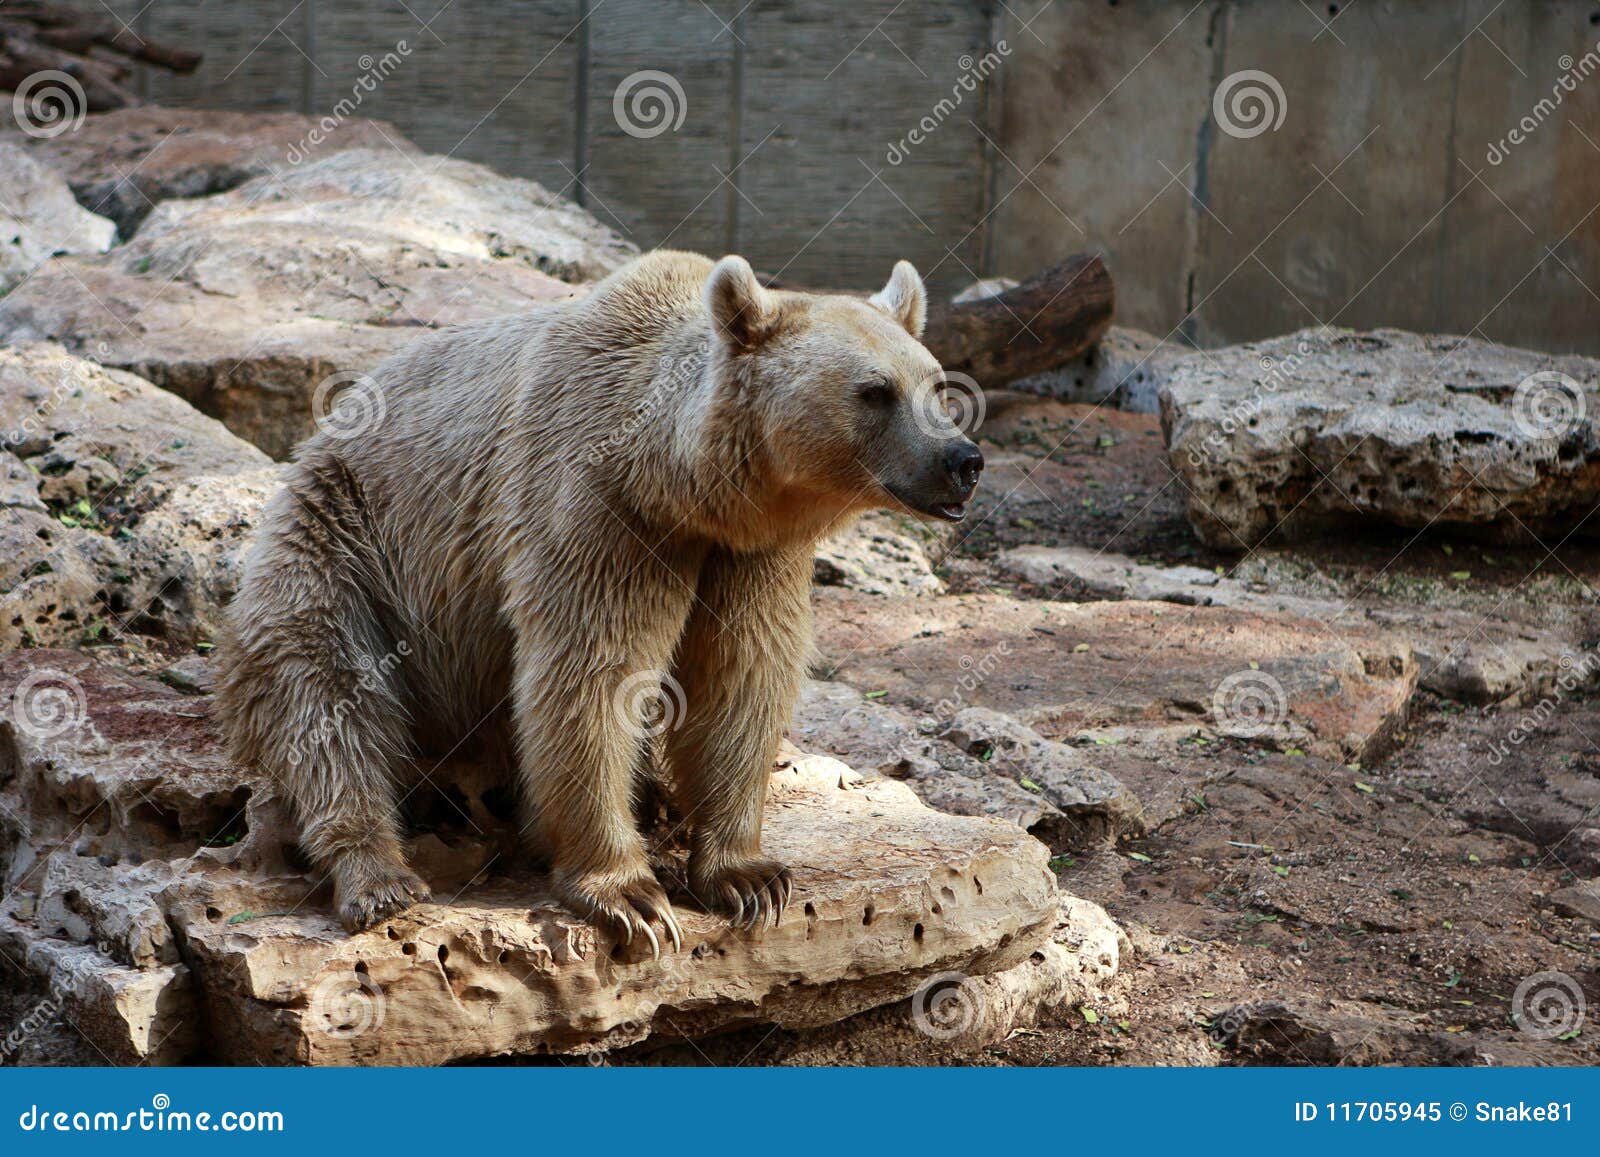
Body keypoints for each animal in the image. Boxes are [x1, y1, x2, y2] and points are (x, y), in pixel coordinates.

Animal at [216, 250, 985, 949]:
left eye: (937, 383)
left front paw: (748, 876)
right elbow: (593, 671)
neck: (684, 486)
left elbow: (743, 675)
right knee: (324, 692)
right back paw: (379, 876)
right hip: (345, 541)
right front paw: (630, 894)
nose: (963, 461)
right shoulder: (598, 512)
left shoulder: (751, 556)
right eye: (875, 390)